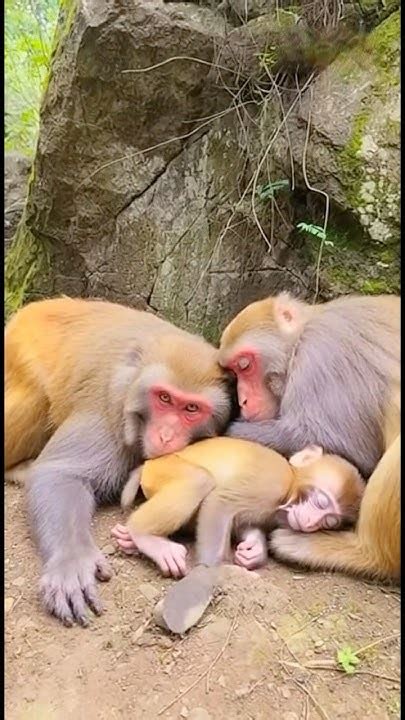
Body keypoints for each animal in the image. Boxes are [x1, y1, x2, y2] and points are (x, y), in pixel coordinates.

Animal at [5, 297, 236, 627]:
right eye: (164, 398)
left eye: (191, 408)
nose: (166, 435)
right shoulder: (109, 412)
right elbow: (59, 474)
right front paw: (71, 561)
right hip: (20, 351)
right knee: (35, 395)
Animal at [216, 291, 400, 583]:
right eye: (233, 372)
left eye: (245, 365)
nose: (243, 401)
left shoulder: (321, 358)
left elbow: (335, 441)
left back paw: (361, 554)